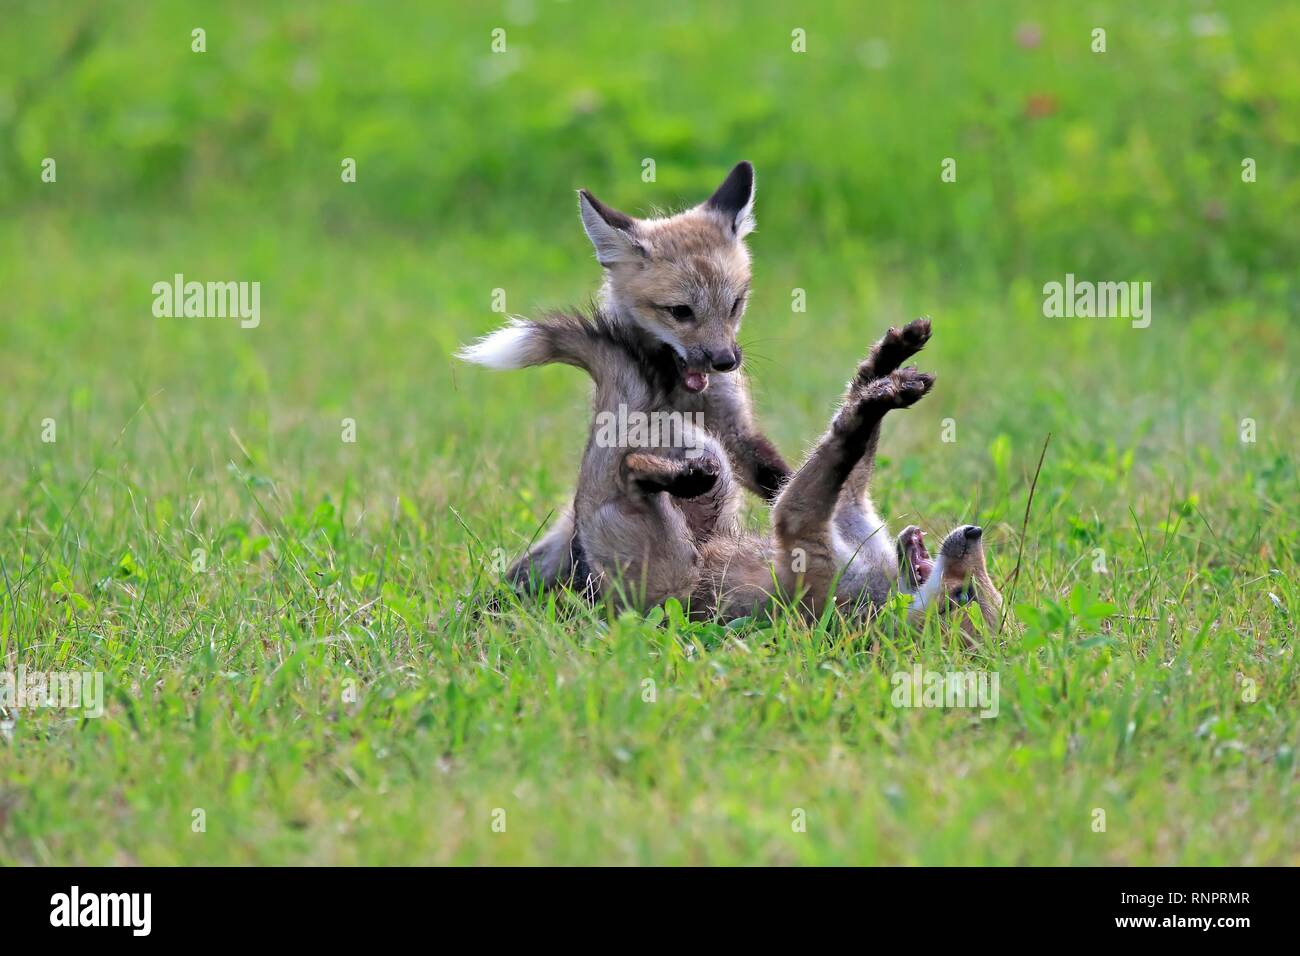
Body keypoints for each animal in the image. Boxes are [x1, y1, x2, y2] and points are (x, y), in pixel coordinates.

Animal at [457, 162, 790, 593]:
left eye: (735, 304)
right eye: (680, 312)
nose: (725, 361)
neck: (677, 393)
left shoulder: (736, 431)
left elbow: (777, 478)